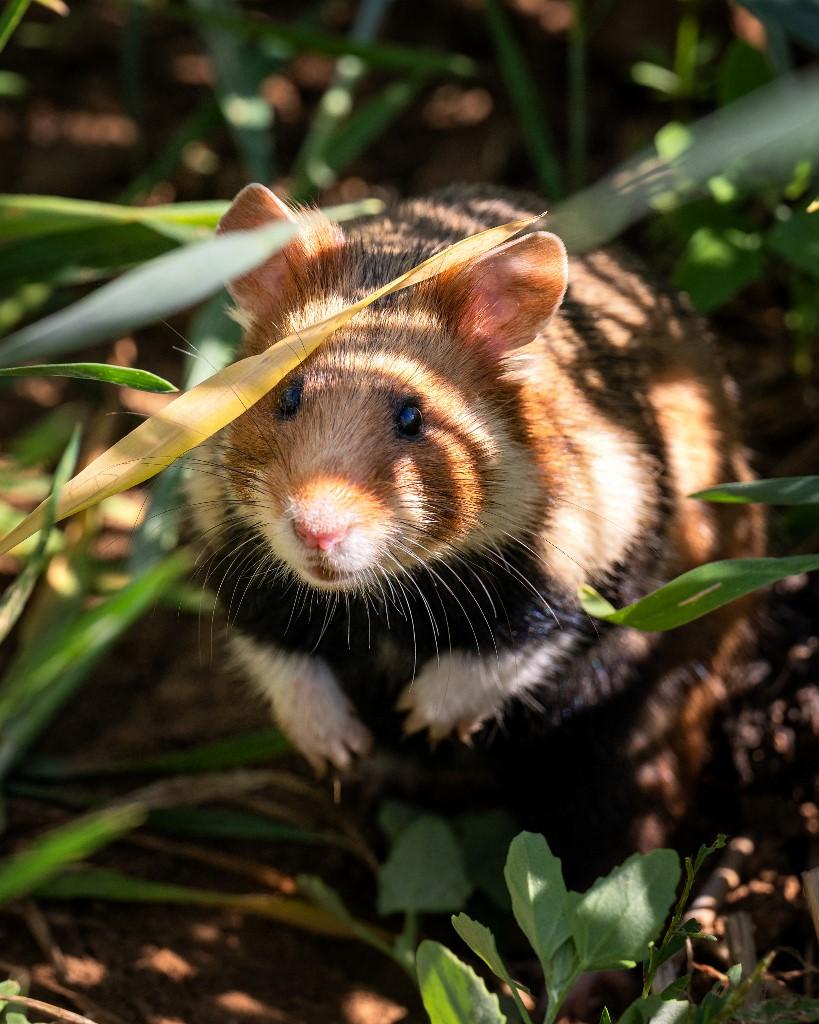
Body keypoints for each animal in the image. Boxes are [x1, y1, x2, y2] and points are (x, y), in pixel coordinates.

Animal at [189, 183, 764, 883]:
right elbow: (281, 658)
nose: (315, 533)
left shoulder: (600, 558)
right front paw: (343, 750)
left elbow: (523, 640)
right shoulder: (240, 567)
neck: (380, 598)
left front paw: (418, 724)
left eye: (413, 418)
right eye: (286, 397)